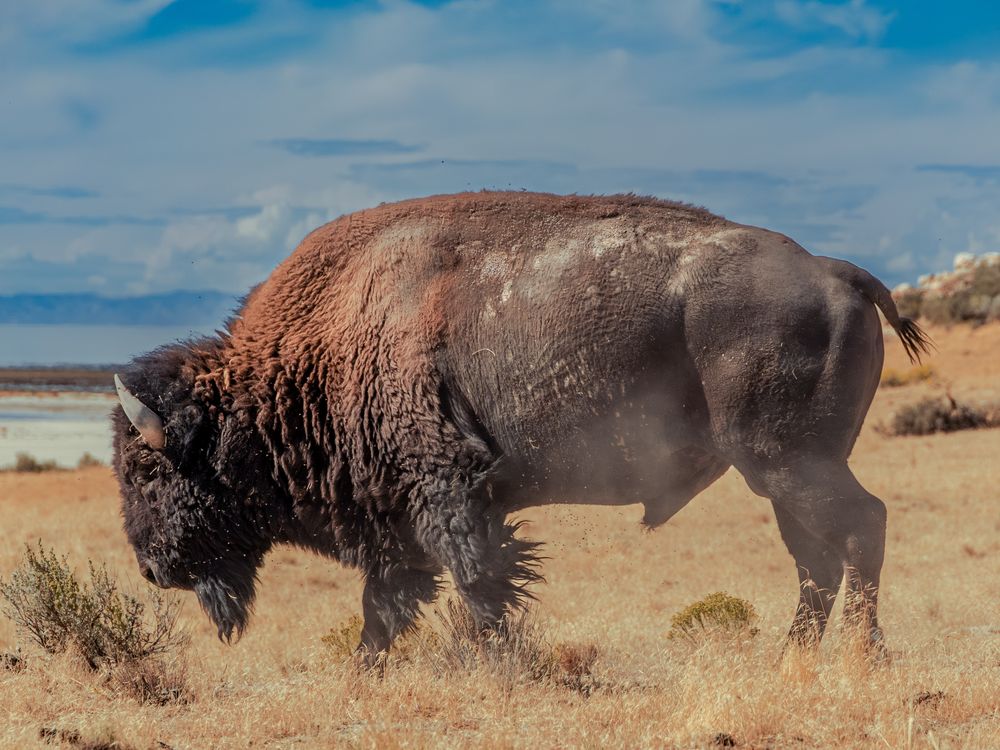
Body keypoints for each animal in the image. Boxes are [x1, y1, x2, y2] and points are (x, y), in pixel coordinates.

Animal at [111, 191, 929, 659]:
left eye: (147, 472)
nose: (151, 569)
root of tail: (835, 271)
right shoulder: (406, 524)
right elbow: (387, 610)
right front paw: (369, 674)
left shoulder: (447, 496)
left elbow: (477, 587)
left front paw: (500, 665)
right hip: (784, 477)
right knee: (816, 559)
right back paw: (793, 660)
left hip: (789, 463)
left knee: (862, 528)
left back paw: (863, 657)